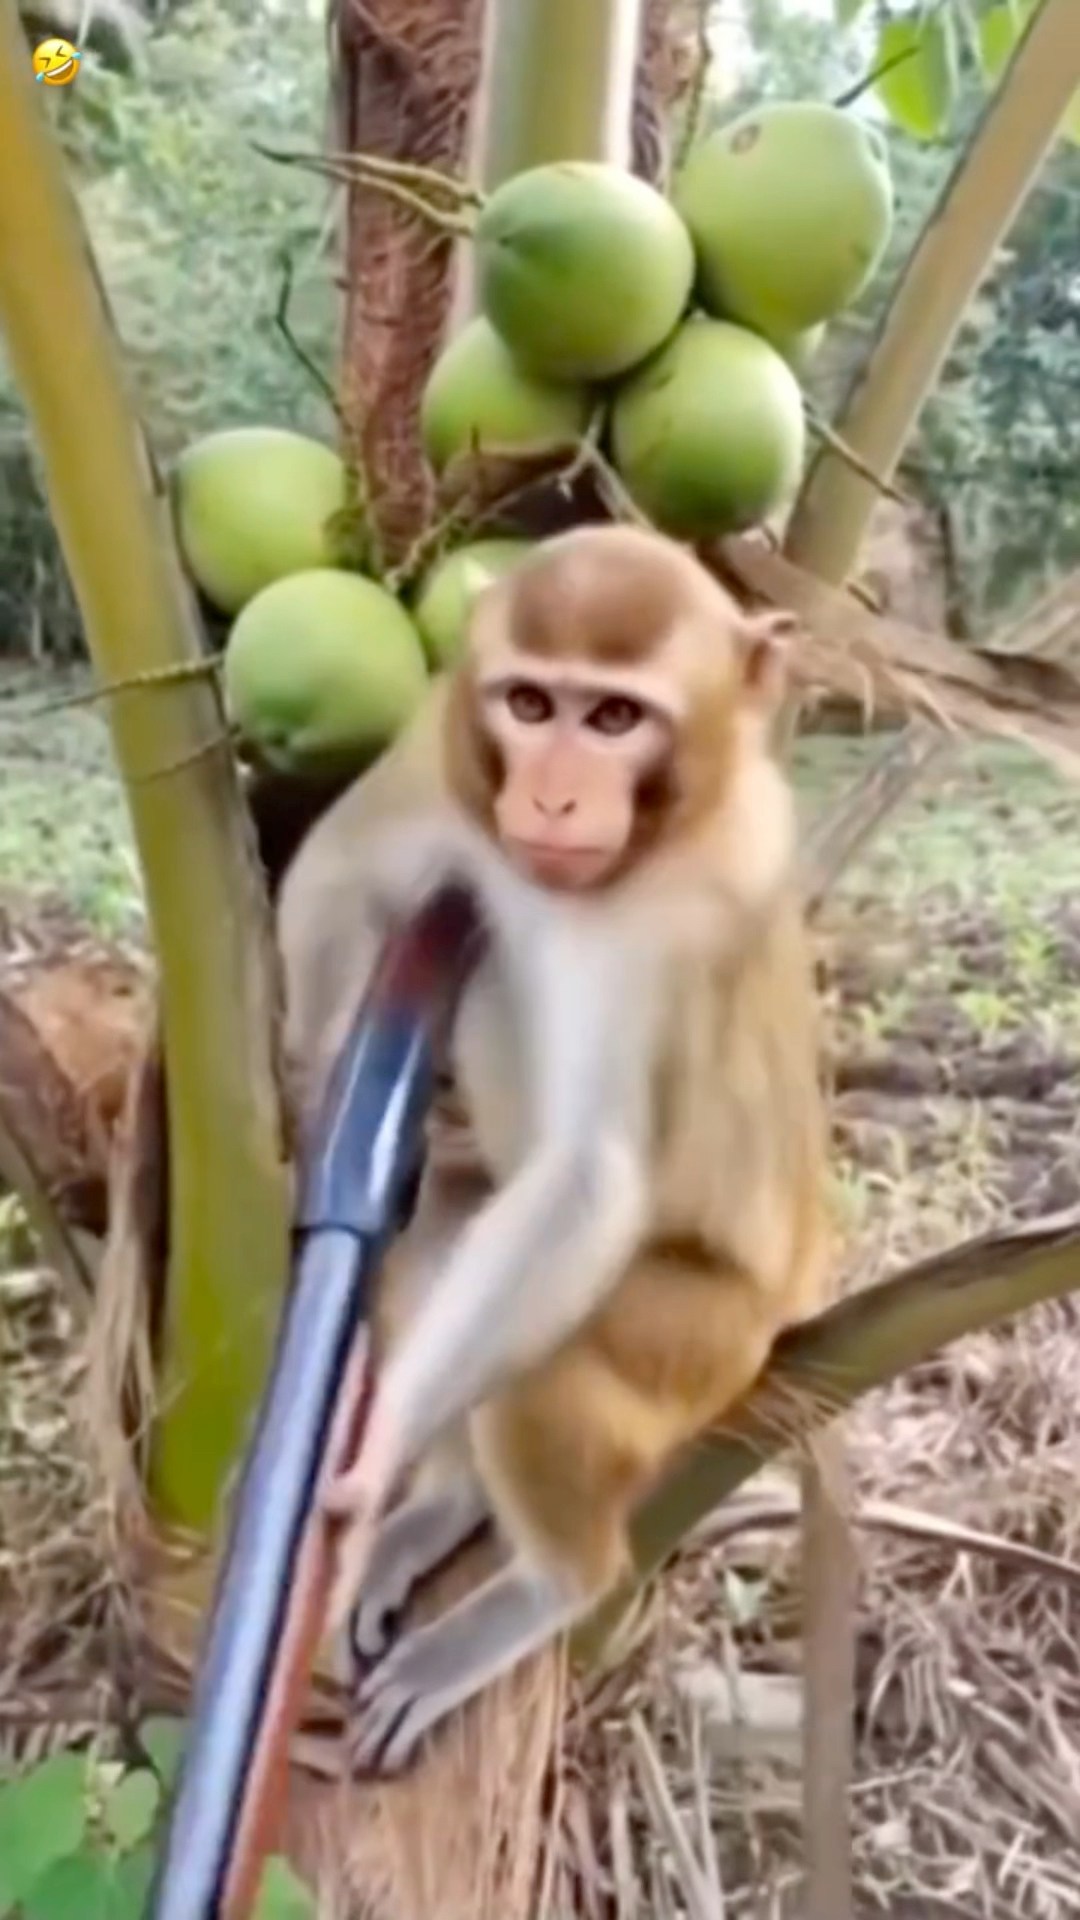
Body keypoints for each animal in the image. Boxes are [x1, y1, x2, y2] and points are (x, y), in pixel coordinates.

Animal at [275, 522, 832, 1776]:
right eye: (531, 703)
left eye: (617, 718)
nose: (556, 792)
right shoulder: (440, 747)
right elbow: (330, 873)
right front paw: (327, 1089)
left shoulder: (682, 919)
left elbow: (588, 1181)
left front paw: (368, 1467)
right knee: (441, 1228)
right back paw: (446, 1502)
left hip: (709, 1344)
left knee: (559, 1371)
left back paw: (547, 1585)